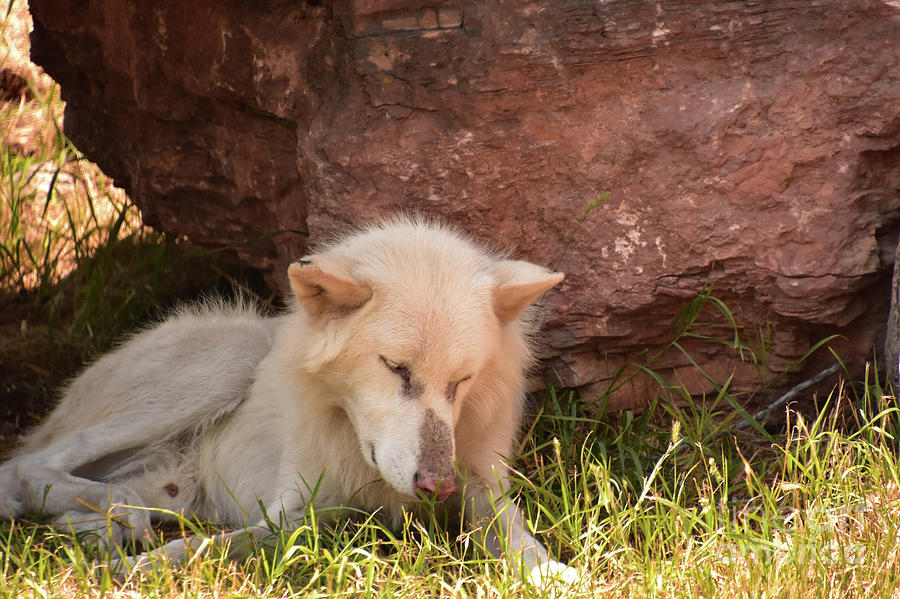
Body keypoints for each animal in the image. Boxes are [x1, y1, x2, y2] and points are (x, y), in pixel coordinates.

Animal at [0, 218, 575, 585]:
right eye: (395, 368)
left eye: (462, 380)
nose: (438, 486)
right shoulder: (293, 513)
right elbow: (203, 546)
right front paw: (132, 571)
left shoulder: (481, 485)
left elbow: (517, 534)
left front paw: (550, 573)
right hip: (231, 358)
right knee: (27, 465)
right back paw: (113, 516)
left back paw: (105, 519)